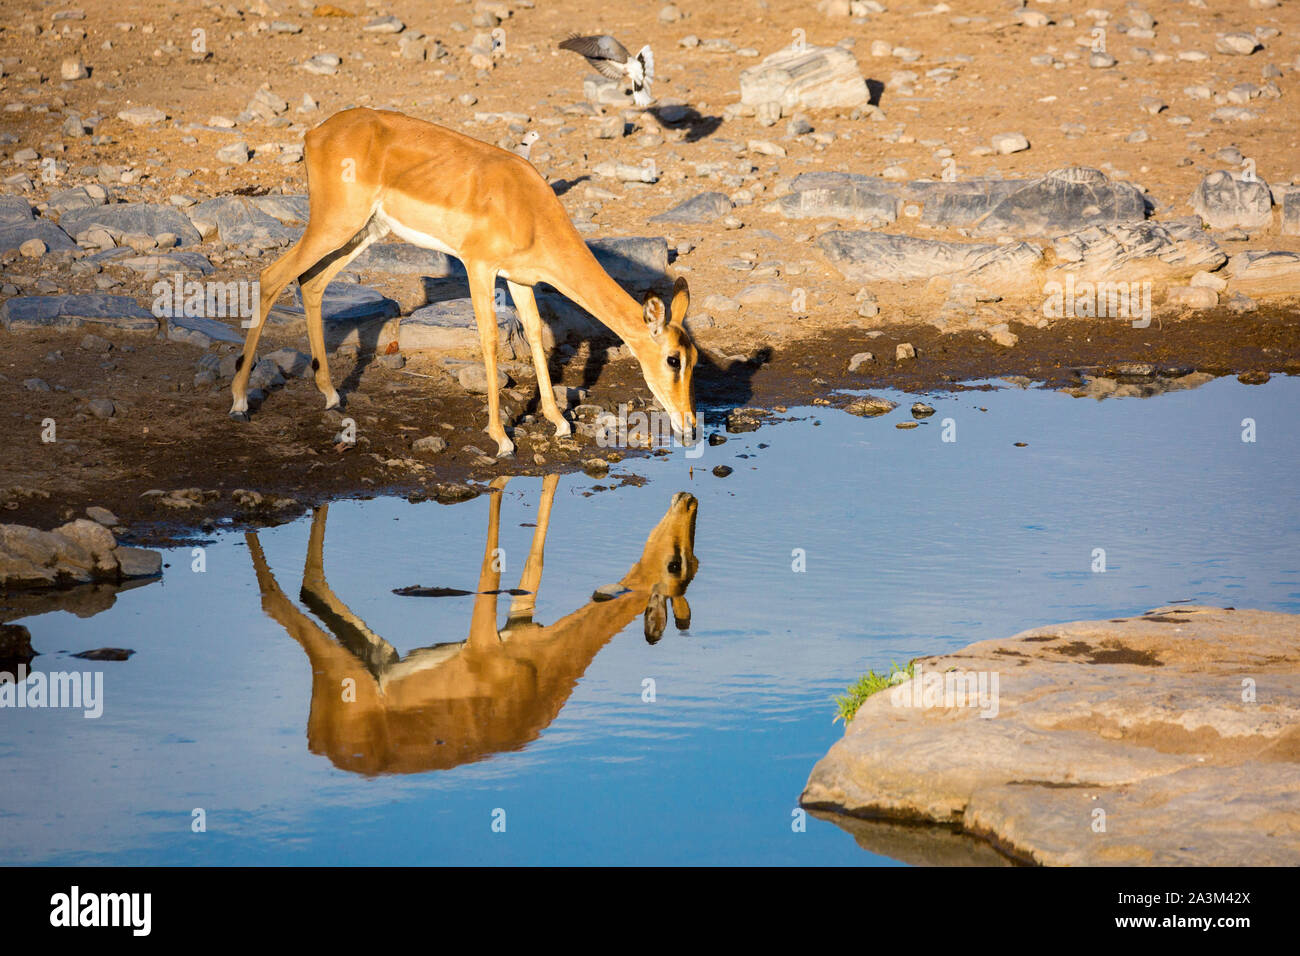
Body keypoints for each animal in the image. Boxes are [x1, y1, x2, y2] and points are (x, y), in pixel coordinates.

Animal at [229, 108, 699, 457]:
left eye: (693, 358)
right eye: (673, 360)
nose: (691, 427)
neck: (529, 208)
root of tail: (316, 133)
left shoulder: (520, 279)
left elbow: (535, 332)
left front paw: (558, 421)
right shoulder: (479, 267)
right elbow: (490, 339)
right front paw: (502, 437)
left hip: (366, 231)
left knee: (310, 283)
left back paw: (329, 394)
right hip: (335, 224)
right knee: (271, 276)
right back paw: (238, 402)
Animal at [246, 477, 699, 775]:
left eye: (691, 562)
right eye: (675, 563)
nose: (690, 499)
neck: (539, 672)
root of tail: (322, 747)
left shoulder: (520, 620)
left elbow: (534, 562)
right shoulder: (483, 640)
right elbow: (491, 566)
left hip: (369, 655)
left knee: (310, 591)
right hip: (340, 666)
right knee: (277, 599)